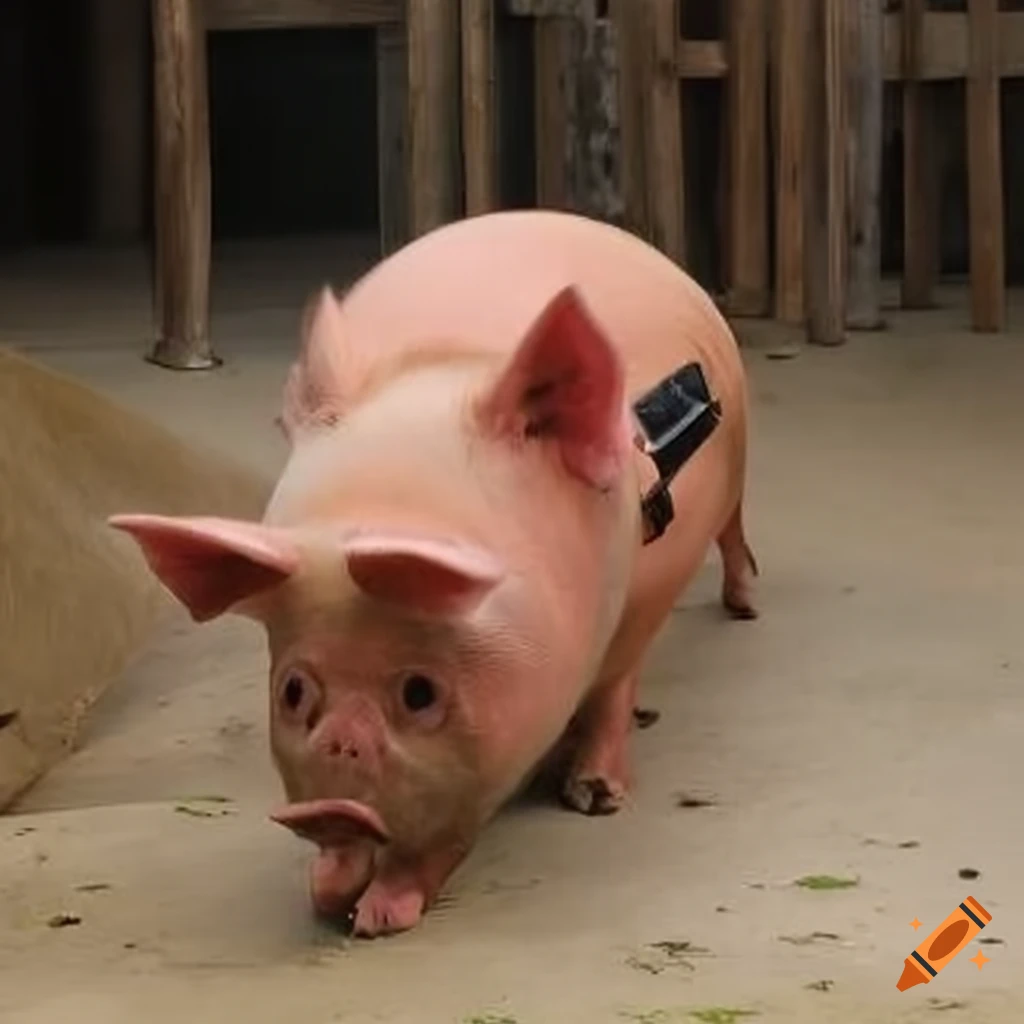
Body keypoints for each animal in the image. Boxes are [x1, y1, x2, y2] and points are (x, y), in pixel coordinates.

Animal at [110, 209, 757, 938]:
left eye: (420, 692)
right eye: (294, 691)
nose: (330, 795)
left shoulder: (644, 603)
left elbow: (611, 694)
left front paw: (594, 798)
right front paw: (339, 902)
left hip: (734, 484)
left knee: (733, 531)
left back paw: (745, 604)